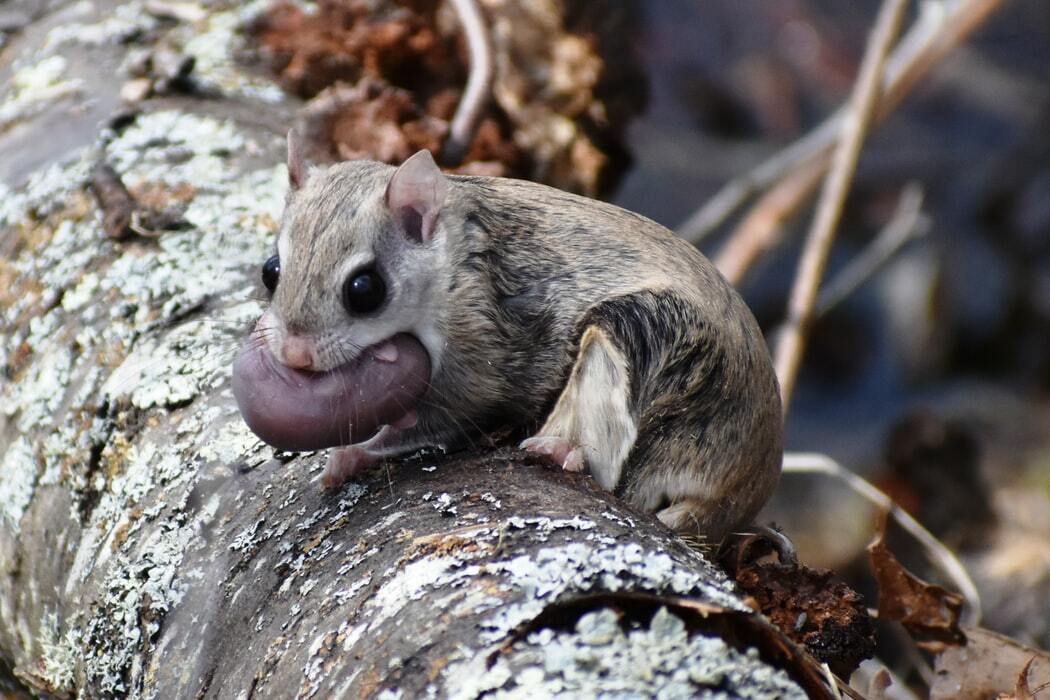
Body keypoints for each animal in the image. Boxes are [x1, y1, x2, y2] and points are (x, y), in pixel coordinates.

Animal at [234, 134, 785, 541]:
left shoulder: (474, 359)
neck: (451, 264)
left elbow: (439, 425)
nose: (295, 355)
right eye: (270, 271)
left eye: (365, 290)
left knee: (611, 467)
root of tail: (738, 493)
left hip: (643, 335)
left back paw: (561, 451)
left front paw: (354, 453)